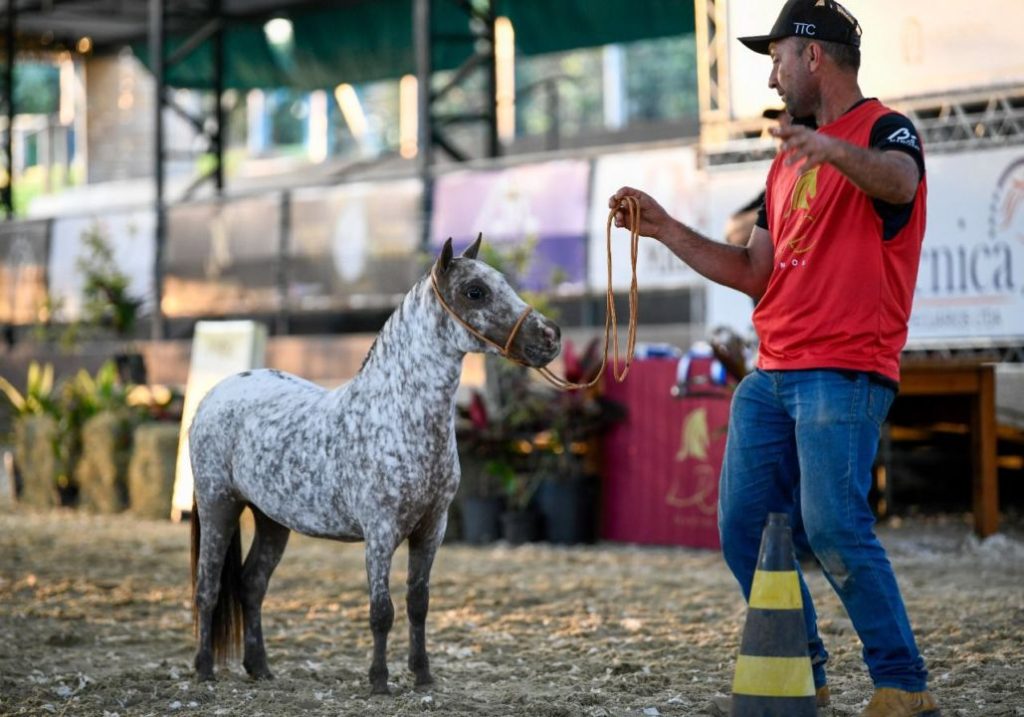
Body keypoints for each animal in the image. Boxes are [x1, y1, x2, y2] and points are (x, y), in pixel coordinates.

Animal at [187, 236, 561, 694]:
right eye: (476, 291)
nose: (550, 336)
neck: (396, 415)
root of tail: (214, 394)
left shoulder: (431, 529)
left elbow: (418, 603)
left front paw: (422, 675)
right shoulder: (380, 532)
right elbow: (381, 610)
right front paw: (379, 681)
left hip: (272, 519)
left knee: (251, 584)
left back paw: (260, 668)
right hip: (218, 505)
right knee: (207, 586)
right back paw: (204, 669)